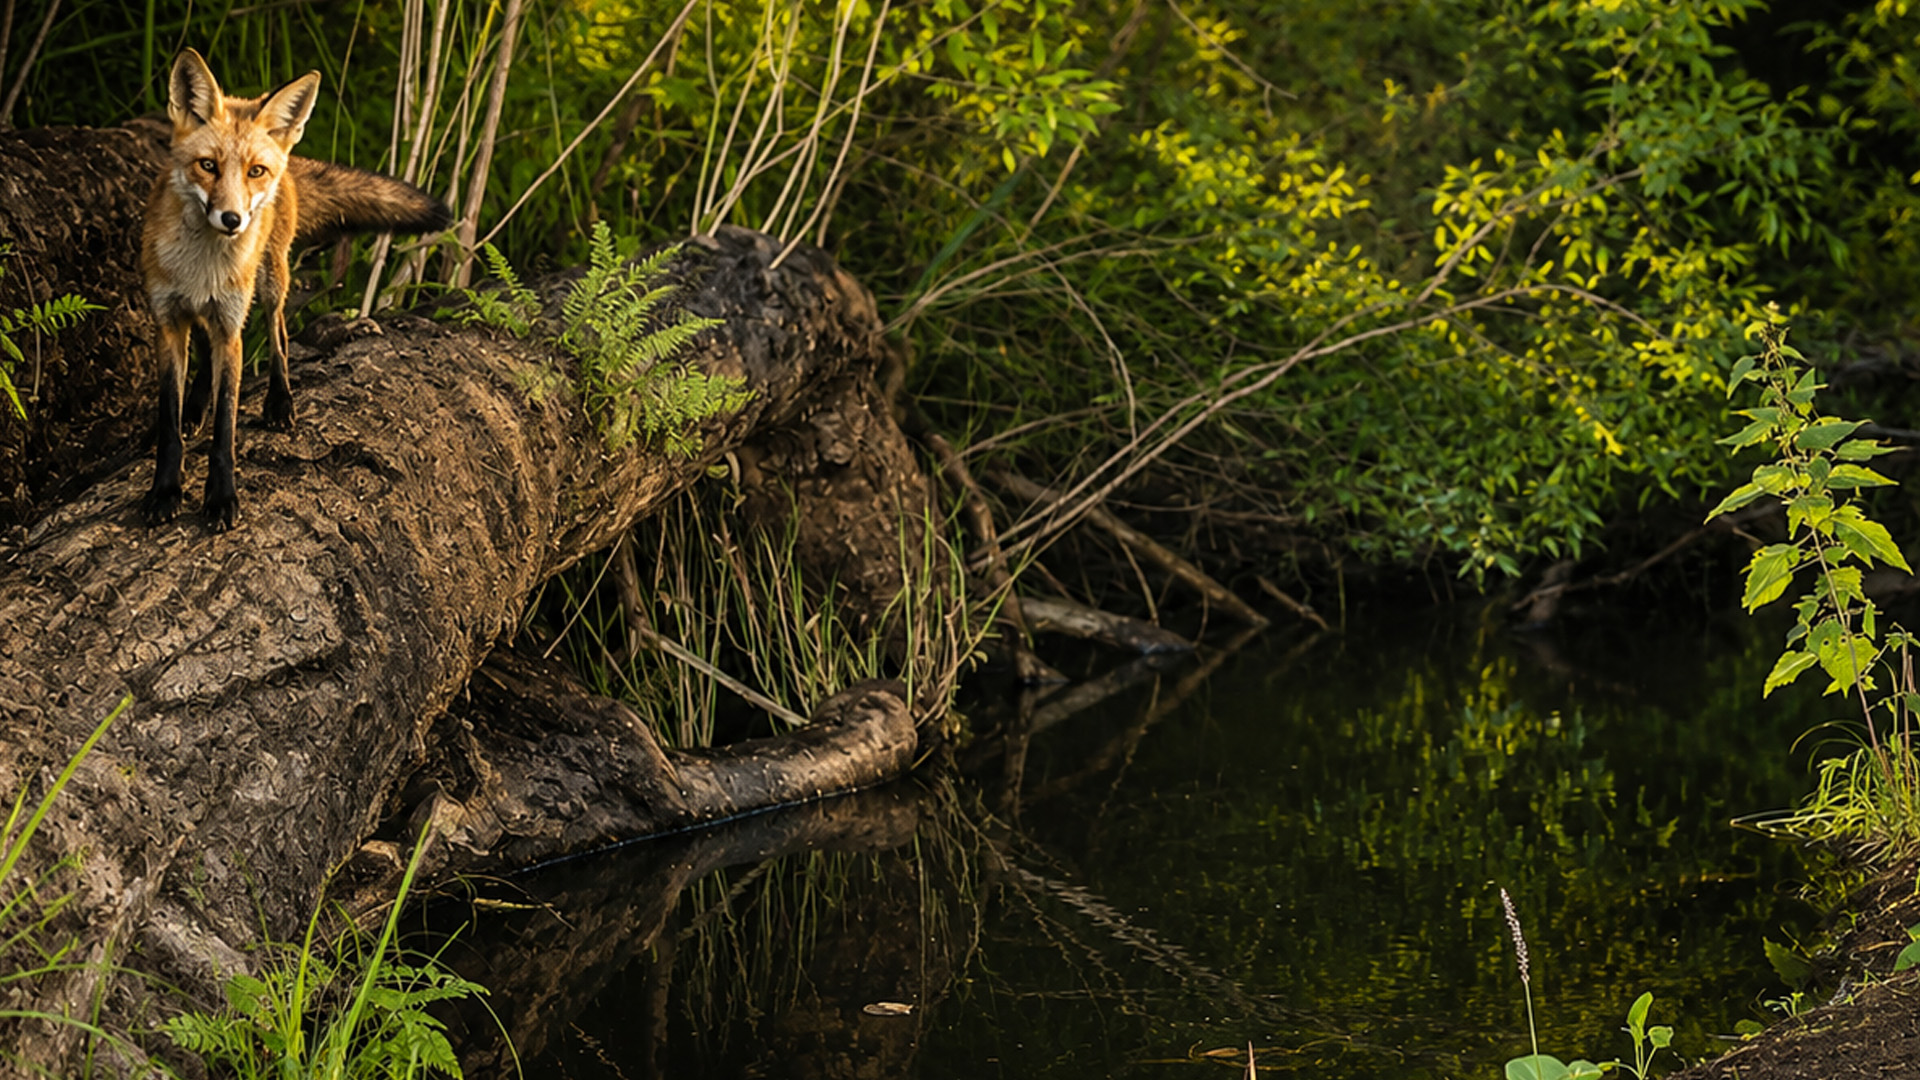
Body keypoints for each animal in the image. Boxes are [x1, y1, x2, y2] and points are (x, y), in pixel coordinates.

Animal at [140, 48, 451, 530]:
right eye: (207, 166)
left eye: (254, 171)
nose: (232, 220)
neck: (201, 269)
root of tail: (290, 163)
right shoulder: (169, 322)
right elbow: (168, 422)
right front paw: (165, 489)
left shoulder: (231, 323)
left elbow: (225, 427)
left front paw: (221, 498)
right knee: (209, 357)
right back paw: (197, 406)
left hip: (270, 284)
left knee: (280, 335)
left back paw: (279, 402)